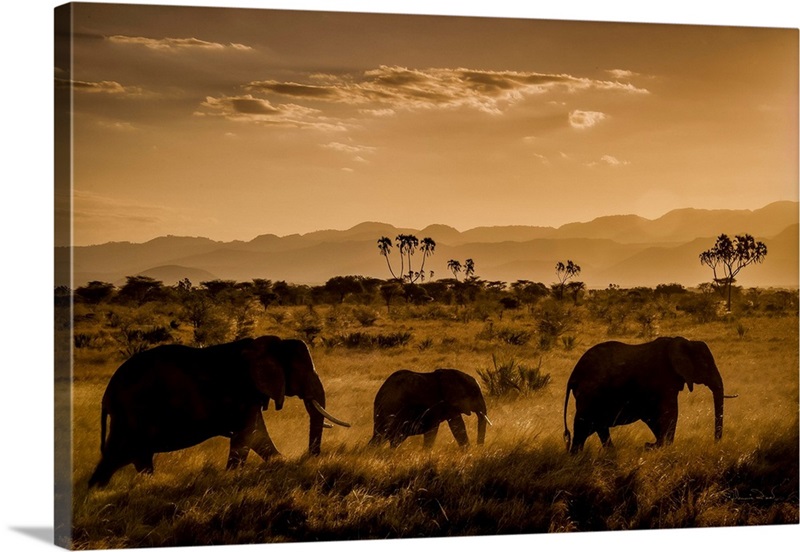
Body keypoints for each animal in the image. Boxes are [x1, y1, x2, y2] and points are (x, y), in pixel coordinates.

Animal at [88, 335, 350, 487]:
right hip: (133, 413)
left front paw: (280, 463)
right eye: (300, 371)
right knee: (123, 455)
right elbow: (248, 435)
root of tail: (107, 395)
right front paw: (232, 477)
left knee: (125, 457)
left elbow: (257, 436)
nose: (311, 457)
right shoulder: (243, 391)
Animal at [563, 336, 733, 453]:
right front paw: (658, 447)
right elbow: (669, 413)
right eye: (705, 365)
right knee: (582, 429)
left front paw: (653, 446)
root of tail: (573, 375)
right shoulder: (663, 380)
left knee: (597, 428)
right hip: (589, 396)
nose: (715, 444)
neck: (683, 342)